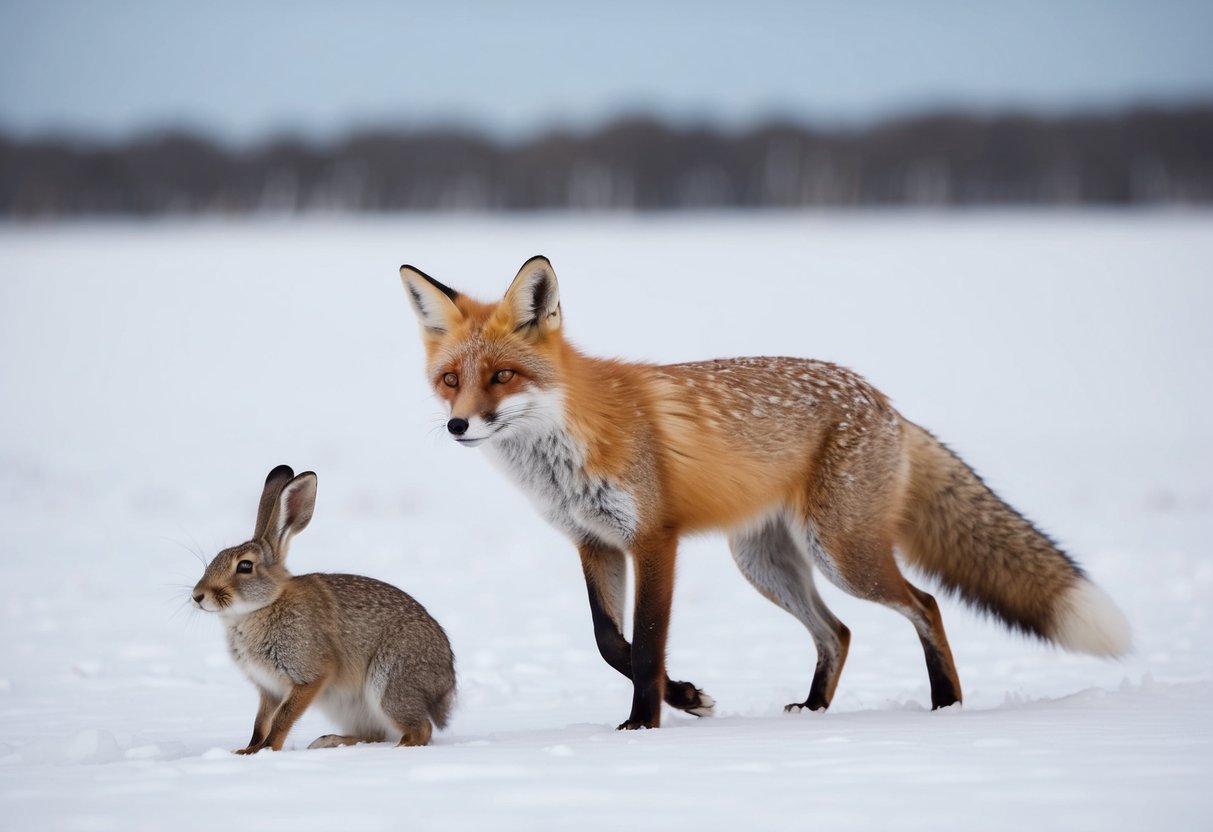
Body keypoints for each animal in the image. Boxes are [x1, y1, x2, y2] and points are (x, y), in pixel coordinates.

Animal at [398, 255, 1131, 730]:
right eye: (450, 380)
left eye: (501, 375)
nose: (458, 425)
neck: (567, 441)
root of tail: (886, 401)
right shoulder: (592, 542)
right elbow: (612, 643)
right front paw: (687, 698)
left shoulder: (654, 539)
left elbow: (647, 641)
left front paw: (644, 725)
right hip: (765, 563)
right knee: (838, 632)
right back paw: (813, 711)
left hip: (841, 555)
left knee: (923, 605)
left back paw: (946, 704)